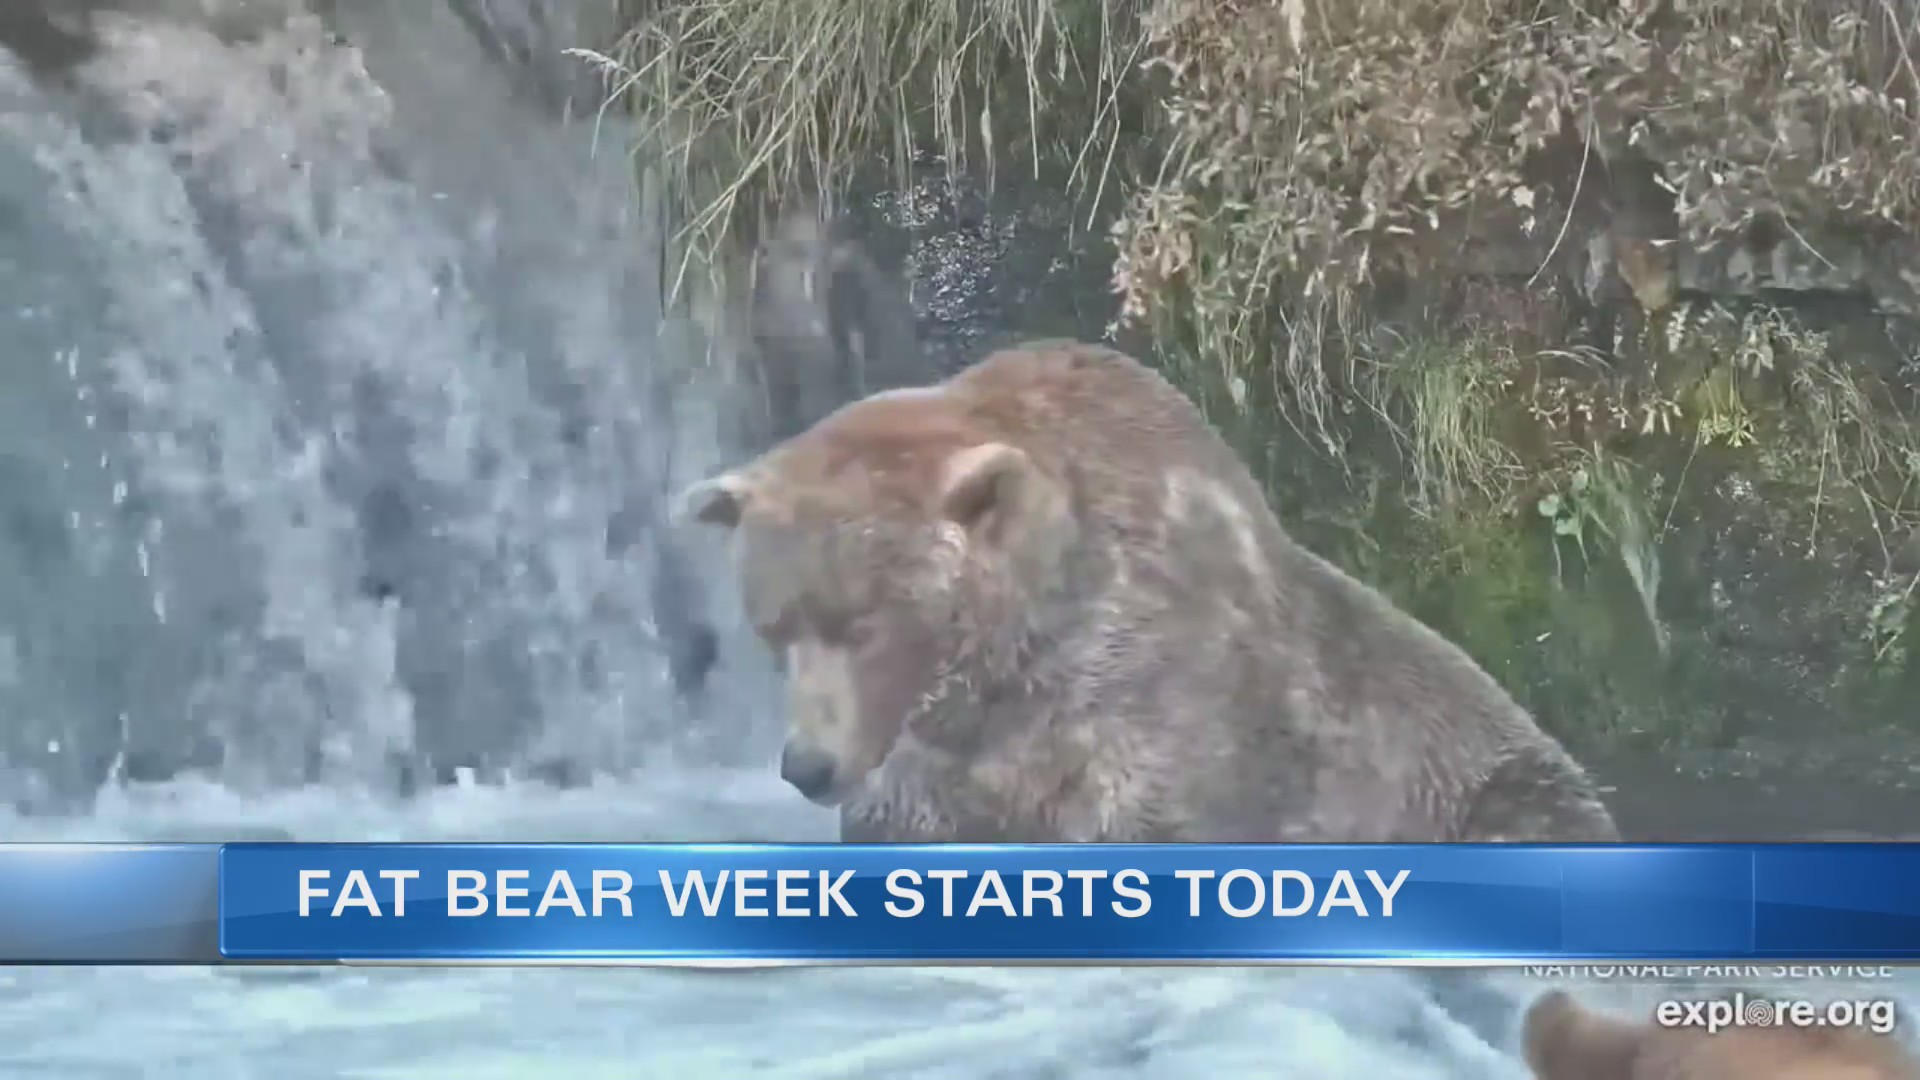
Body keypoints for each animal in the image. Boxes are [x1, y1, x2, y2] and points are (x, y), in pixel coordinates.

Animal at [673, 213, 1619, 844]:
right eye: (774, 630)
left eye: (861, 623)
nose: (807, 765)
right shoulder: (939, 768)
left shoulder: (1164, 700)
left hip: (1490, 781)